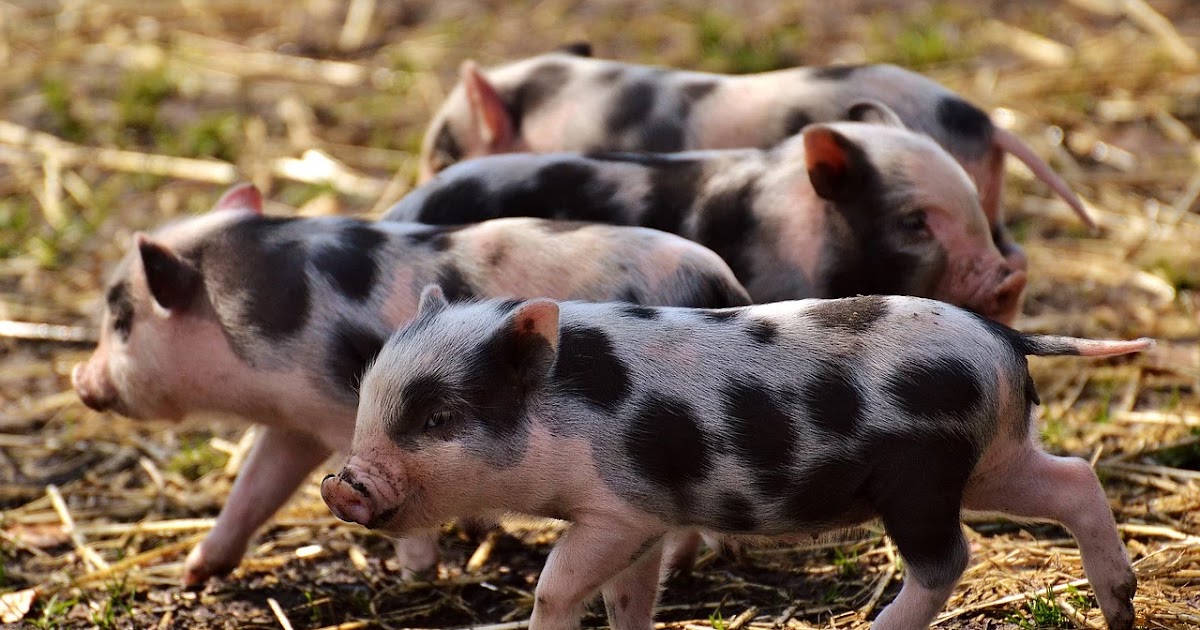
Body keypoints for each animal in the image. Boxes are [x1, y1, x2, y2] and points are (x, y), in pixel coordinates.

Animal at [70, 183, 750, 587]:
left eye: (122, 320)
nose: (81, 381)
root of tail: (722, 283)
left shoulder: (338, 411)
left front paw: (418, 576)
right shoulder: (295, 422)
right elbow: (253, 490)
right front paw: (195, 573)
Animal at [323, 286, 1146, 630]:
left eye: (438, 418)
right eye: (368, 404)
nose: (342, 485)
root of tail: (1002, 337)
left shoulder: (619, 512)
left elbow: (556, 590)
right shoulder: (648, 525)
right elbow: (628, 600)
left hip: (921, 478)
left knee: (948, 559)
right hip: (993, 458)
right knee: (1076, 479)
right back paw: (1120, 609)